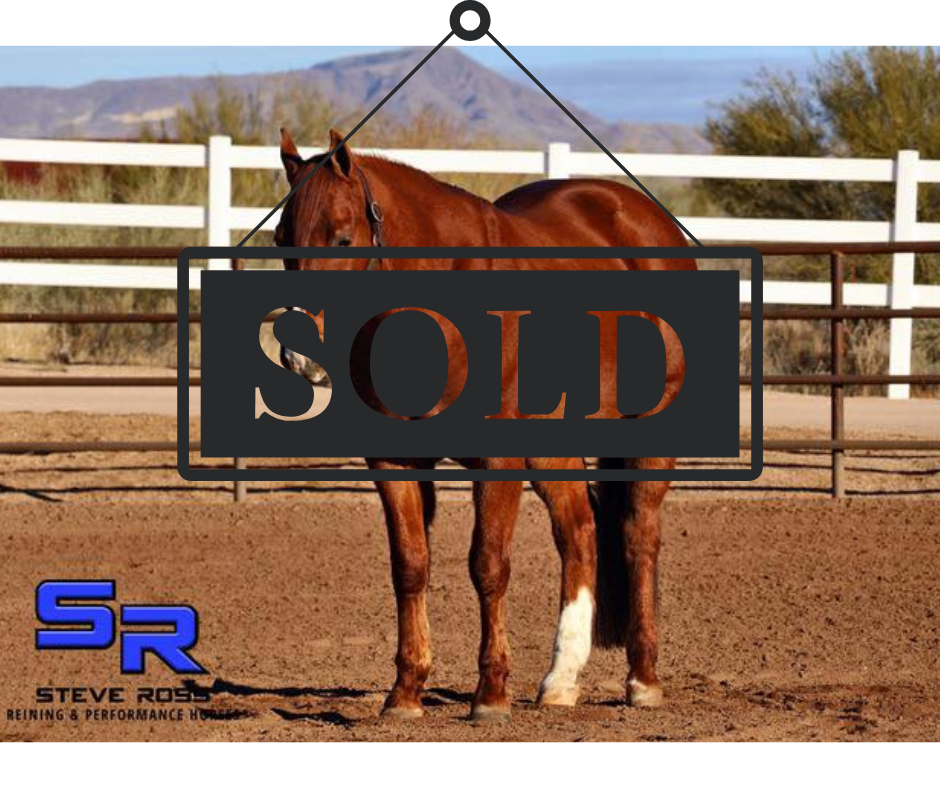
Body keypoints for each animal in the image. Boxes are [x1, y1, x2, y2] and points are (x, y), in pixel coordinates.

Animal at [274, 127, 695, 721]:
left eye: (342, 238)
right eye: (280, 240)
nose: (298, 357)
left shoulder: (497, 460)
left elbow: (488, 565)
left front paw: (491, 693)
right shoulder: (394, 461)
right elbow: (410, 565)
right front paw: (405, 692)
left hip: (648, 435)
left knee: (638, 538)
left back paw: (643, 680)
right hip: (553, 449)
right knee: (580, 533)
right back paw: (561, 679)